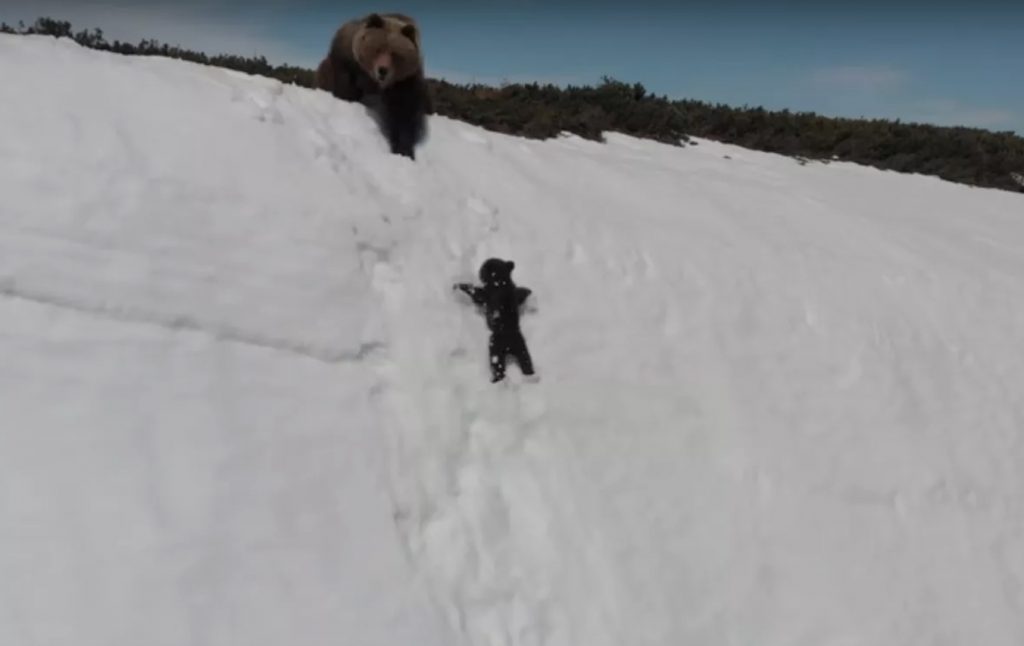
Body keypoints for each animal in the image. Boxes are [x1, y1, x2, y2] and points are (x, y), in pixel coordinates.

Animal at [315, 12, 432, 159]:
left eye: (395, 54)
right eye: (378, 49)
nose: (382, 70)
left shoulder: (405, 81)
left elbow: (404, 113)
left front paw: (404, 150)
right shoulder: (347, 58)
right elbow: (345, 87)